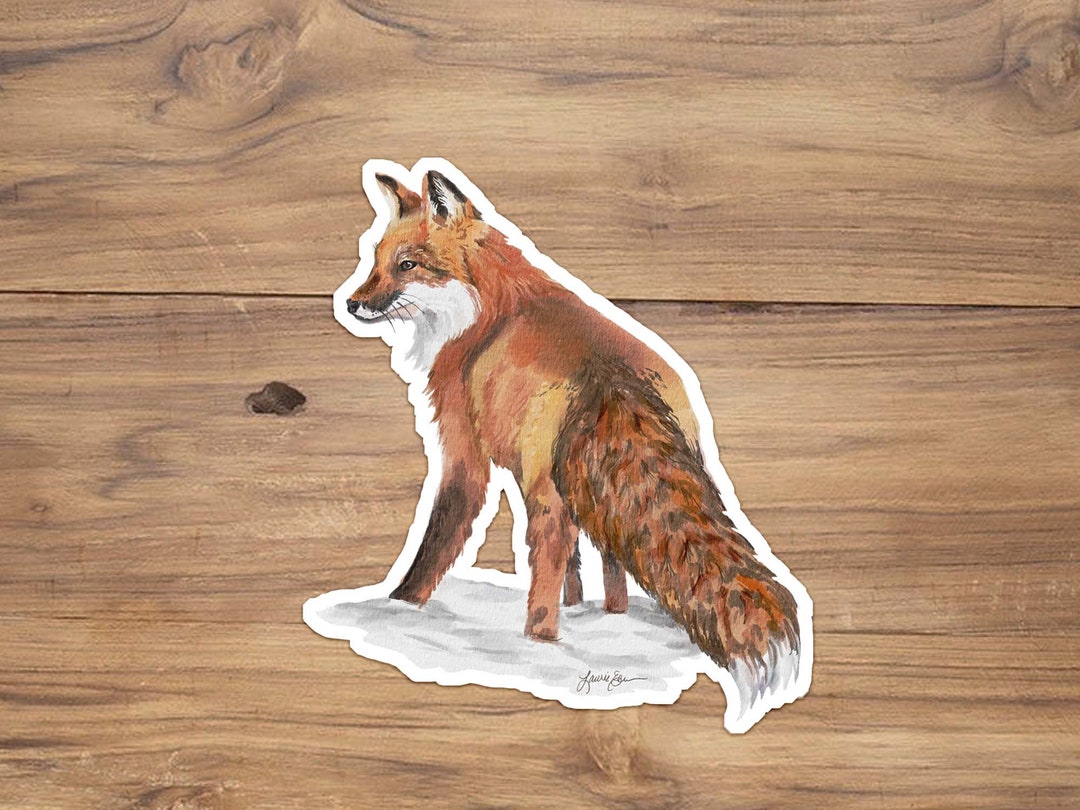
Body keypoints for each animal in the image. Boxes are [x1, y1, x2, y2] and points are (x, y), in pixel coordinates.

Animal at [333, 158, 813, 733]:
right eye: (375, 261)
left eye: (407, 265)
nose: (350, 304)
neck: (488, 308)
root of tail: (609, 373)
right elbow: (580, 572)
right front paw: (584, 610)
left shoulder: (464, 449)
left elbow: (438, 540)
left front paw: (400, 607)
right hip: (616, 482)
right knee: (611, 557)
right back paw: (607, 620)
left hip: (544, 496)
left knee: (551, 561)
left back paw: (538, 646)